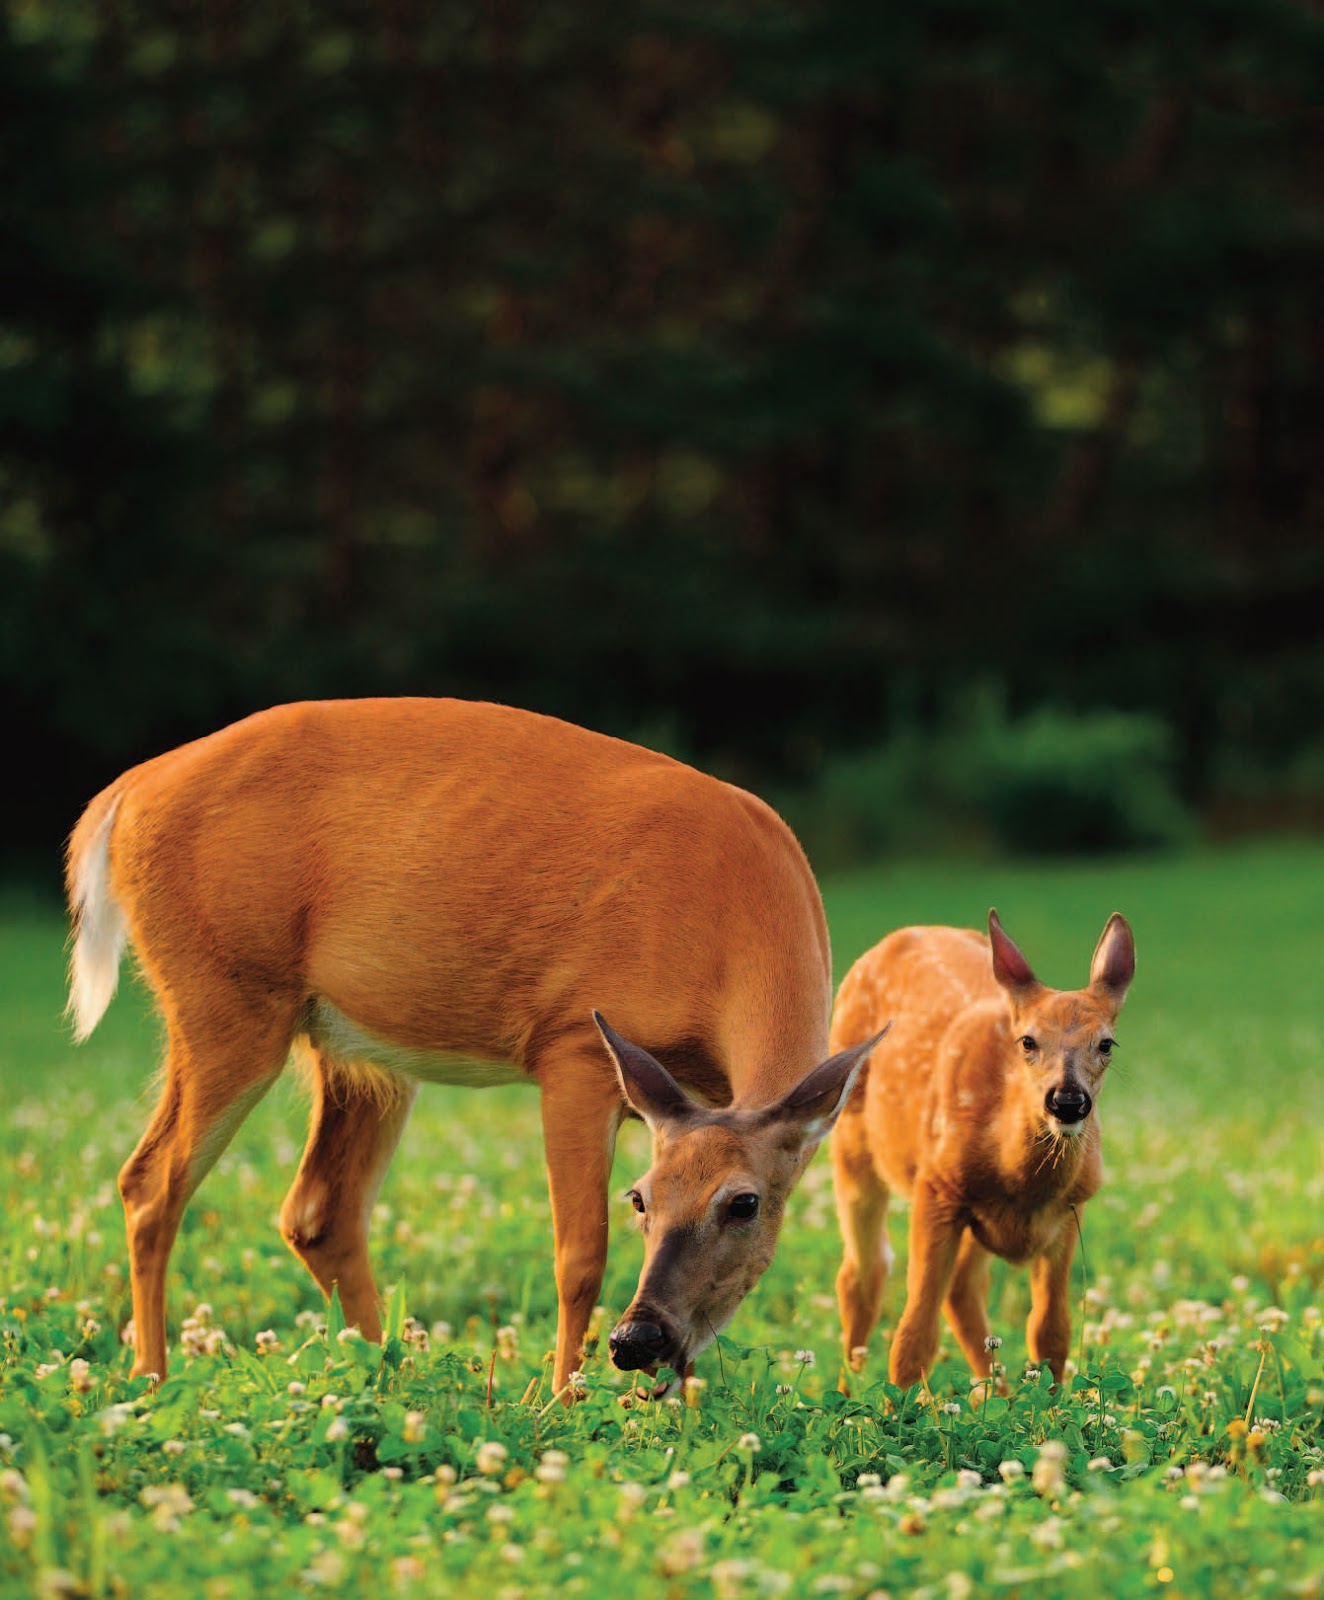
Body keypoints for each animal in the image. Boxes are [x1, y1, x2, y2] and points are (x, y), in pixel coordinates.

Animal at [65, 698, 882, 1395]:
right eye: (640, 1198)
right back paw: (151, 1380)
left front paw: (676, 1411)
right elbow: (579, 1255)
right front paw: (561, 1402)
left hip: (354, 1051)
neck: (731, 930)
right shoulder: (572, 1046)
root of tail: (120, 798)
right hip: (224, 994)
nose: (638, 1341)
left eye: (745, 1204)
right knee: (149, 1181)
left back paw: (391, 1378)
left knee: (317, 1211)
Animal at [829, 909, 1135, 1391]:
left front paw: (1049, 1408)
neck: (1019, 1183)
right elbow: (913, 1339)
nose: (1067, 1101)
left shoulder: (1071, 1209)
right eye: (1028, 1041)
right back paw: (848, 1393)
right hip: (851, 1145)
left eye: (1106, 1043)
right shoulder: (936, 1188)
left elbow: (1051, 1333)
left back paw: (993, 1397)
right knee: (863, 1275)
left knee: (961, 1291)